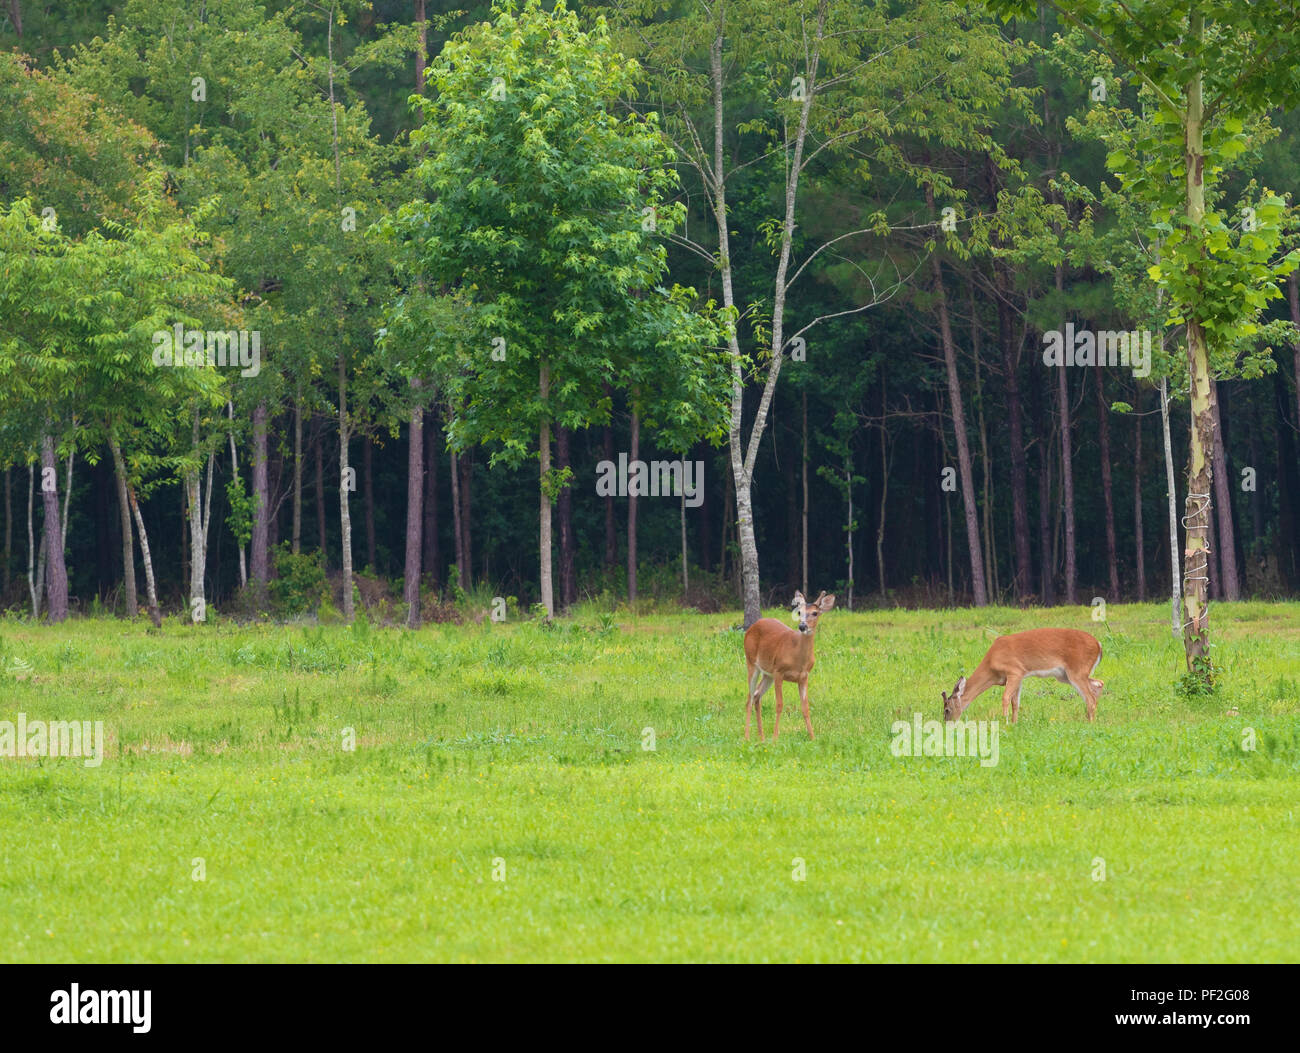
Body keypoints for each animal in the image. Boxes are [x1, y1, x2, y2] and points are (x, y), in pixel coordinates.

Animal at [743, 590, 836, 742]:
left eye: (815, 613)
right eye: (799, 612)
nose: (802, 626)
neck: (798, 658)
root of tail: (752, 627)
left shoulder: (804, 676)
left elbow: (805, 707)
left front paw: (812, 737)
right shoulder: (779, 671)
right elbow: (779, 704)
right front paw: (775, 738)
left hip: (767, 674)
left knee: (757, 695)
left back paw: (761, 737)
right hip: (751, 663)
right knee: (749, 698)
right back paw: (747, 737)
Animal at [942, 627, 1104, 724]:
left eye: (947, 709)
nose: (947, 723)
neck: (991, 665)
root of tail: (1099, 645)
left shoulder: (1014, 671)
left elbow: (1005, 698)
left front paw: (1005, 722)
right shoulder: (1019, 677)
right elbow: (1015, 702)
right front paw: (1014, 723)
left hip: (1077, 670)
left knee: (1090, 697)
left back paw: (1090, 723)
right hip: (1067, 675)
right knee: (1098, 685)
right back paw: (1089, 720)